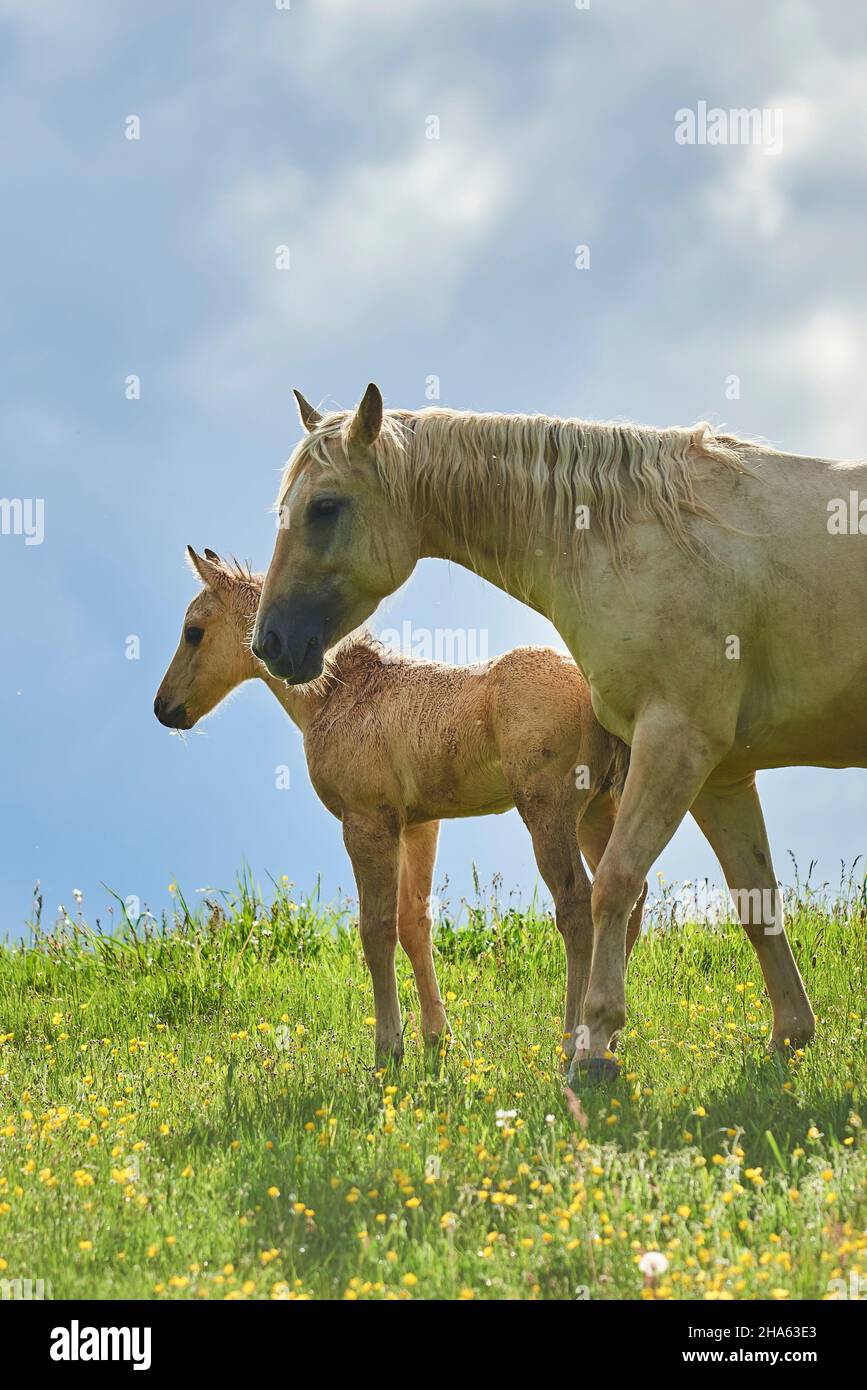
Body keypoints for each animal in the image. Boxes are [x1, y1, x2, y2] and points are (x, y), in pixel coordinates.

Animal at [155, 547, 644, 1066]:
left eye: (193, 631)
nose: (163, 707)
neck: (341, 694)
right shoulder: (418, 825)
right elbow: (414, 924)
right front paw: (437, 1038)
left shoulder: (367, 822)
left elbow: (376, 931)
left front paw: (387, 1049)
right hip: (596, 811)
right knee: (626, 898)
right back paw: (608, 1038)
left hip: (549, 812)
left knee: (576, 906)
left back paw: (574, 1044)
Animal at [253, 383, 867, 1079]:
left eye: (324, 508)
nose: (269, 641)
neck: (654, 542)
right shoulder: (723, 774)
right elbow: (755, 898)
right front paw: (790, 1036)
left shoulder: (677, 743)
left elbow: (614, 885)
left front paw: (593, 1045)